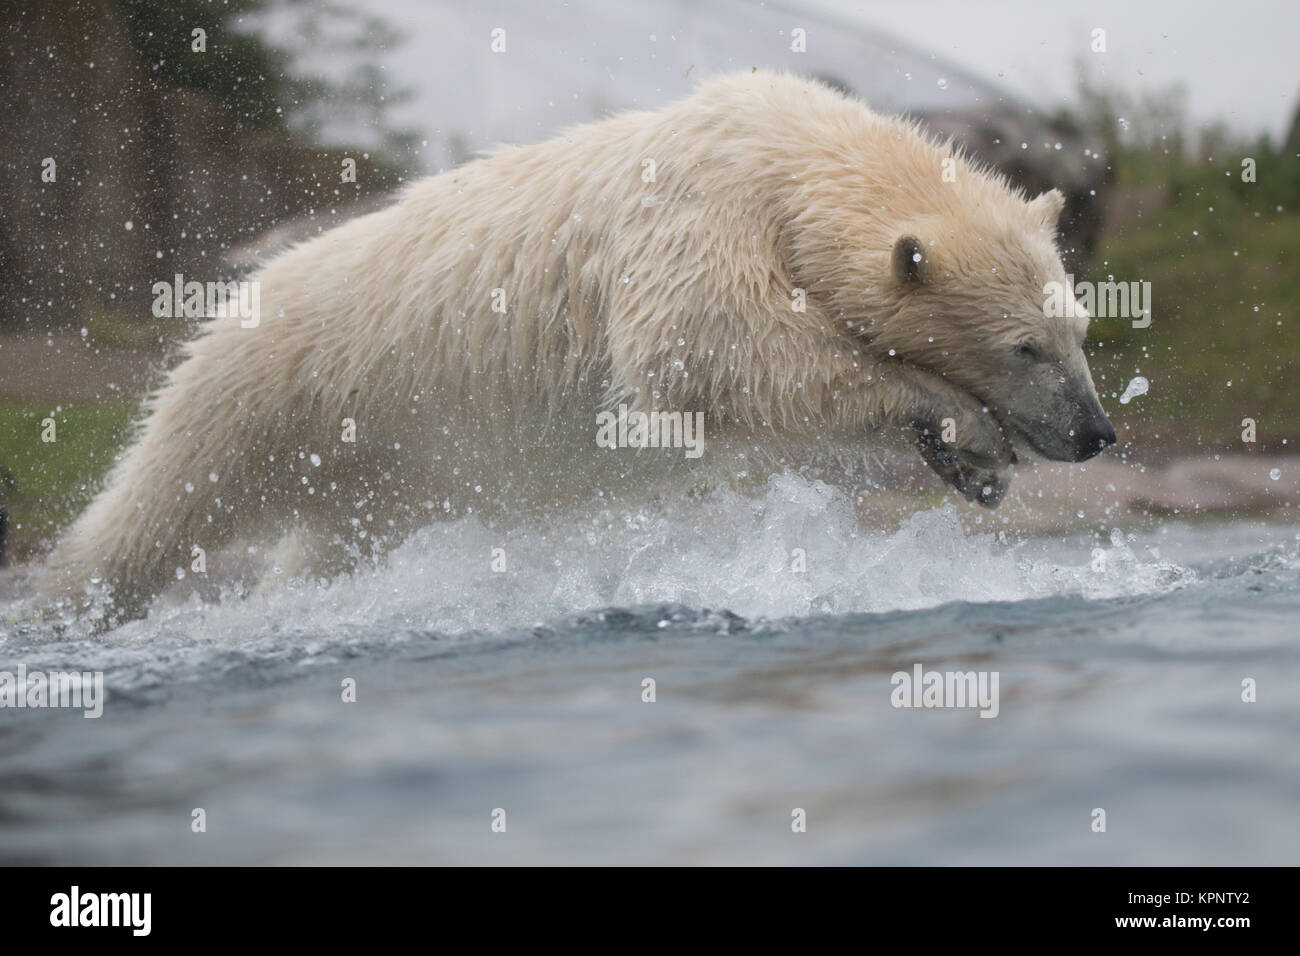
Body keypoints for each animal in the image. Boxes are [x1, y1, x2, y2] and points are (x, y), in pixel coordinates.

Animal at [40, 70, 1113, 620]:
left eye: (1080, 329)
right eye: (1025, 347)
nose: (1095, 433)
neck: (792, 152)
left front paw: (973, 467)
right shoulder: (700, 212)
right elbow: (708, 351)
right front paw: (963, 425)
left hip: (380, 466)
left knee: (316, 545)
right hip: (274, 382)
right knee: (166, 499)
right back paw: (72, 599)